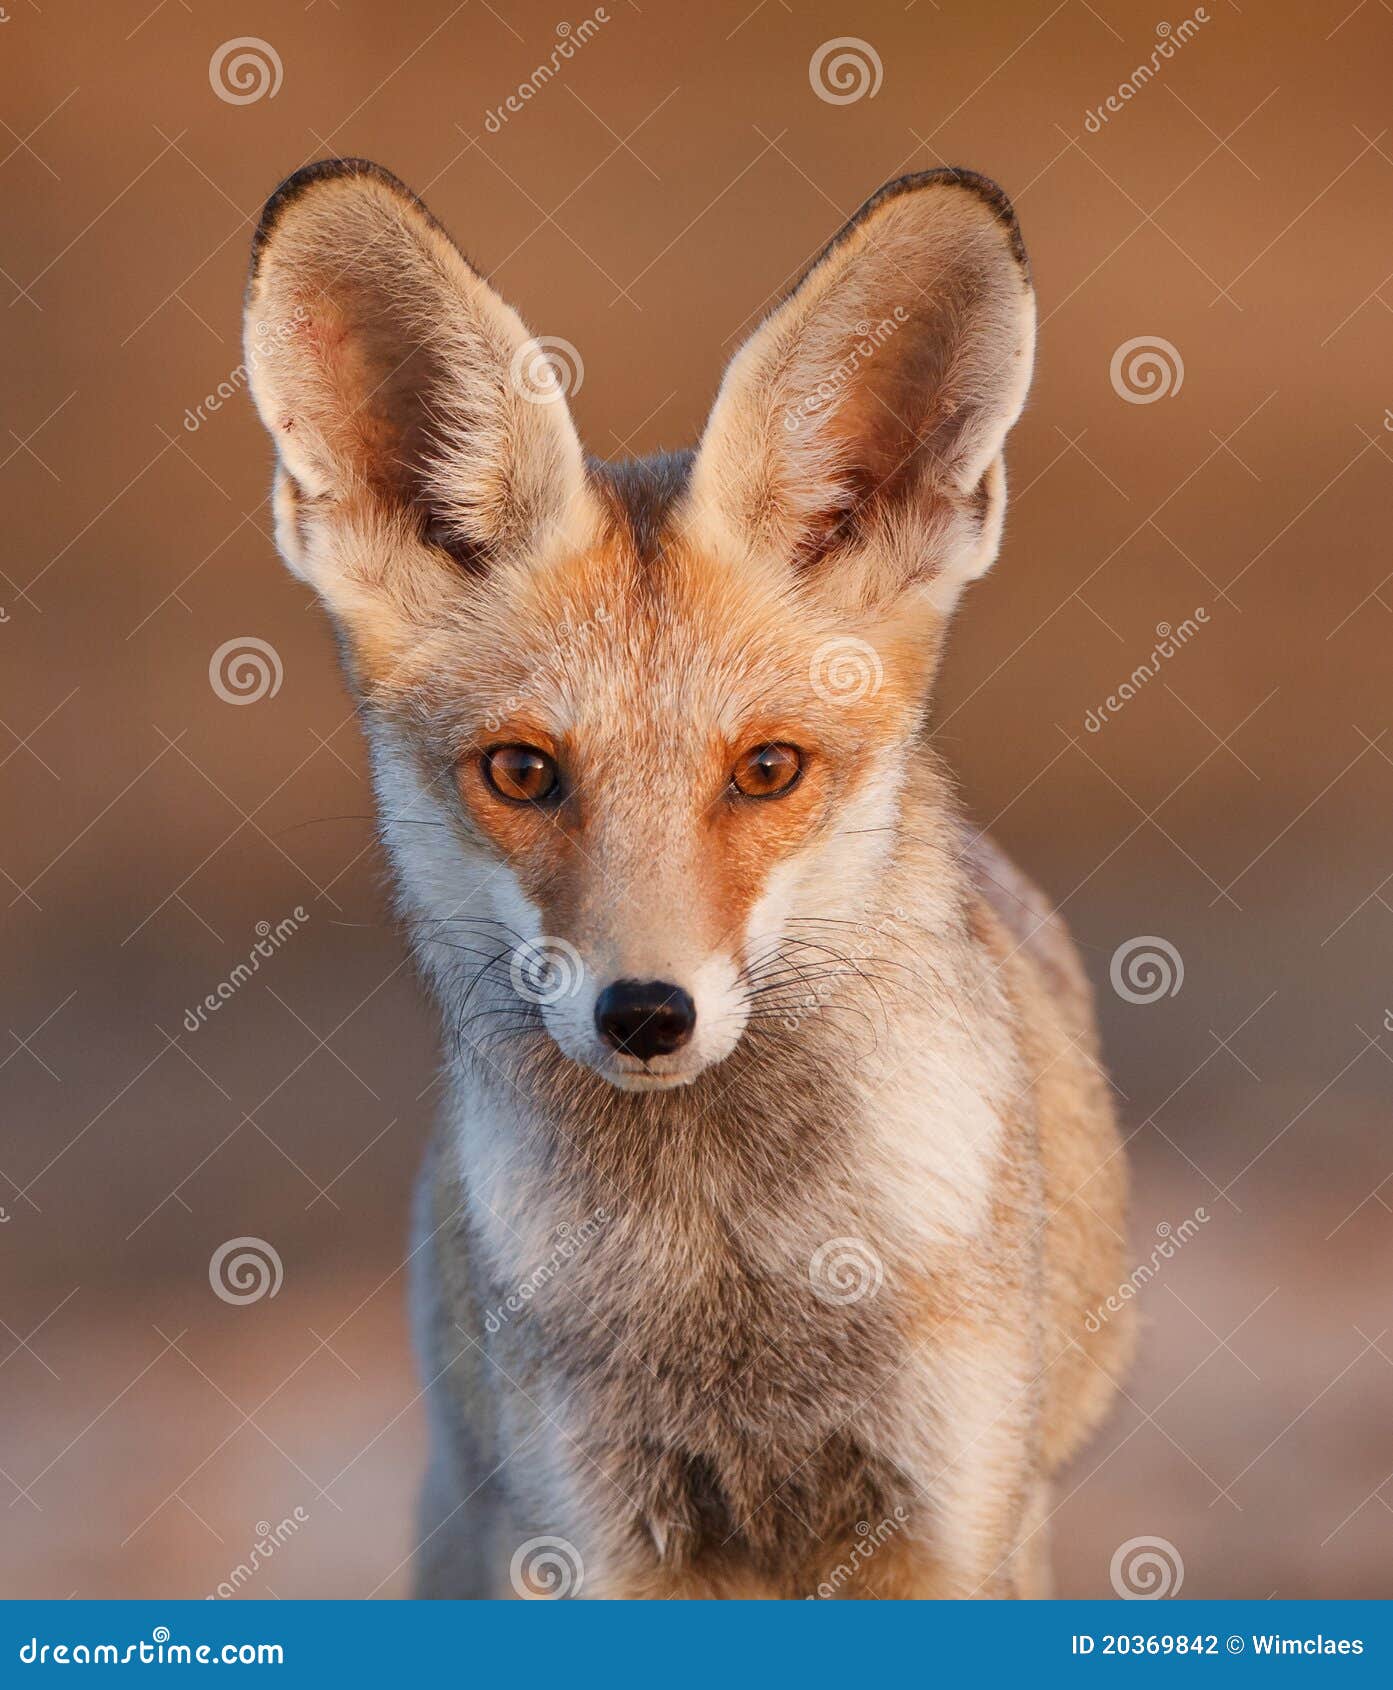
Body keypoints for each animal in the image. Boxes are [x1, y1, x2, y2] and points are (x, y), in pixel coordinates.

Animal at [243, 159, 1134, 1600]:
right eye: (522, 772)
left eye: (766, 769)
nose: (647, 1014)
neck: (725, 1278)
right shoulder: (591, 1528)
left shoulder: (948, 1514)